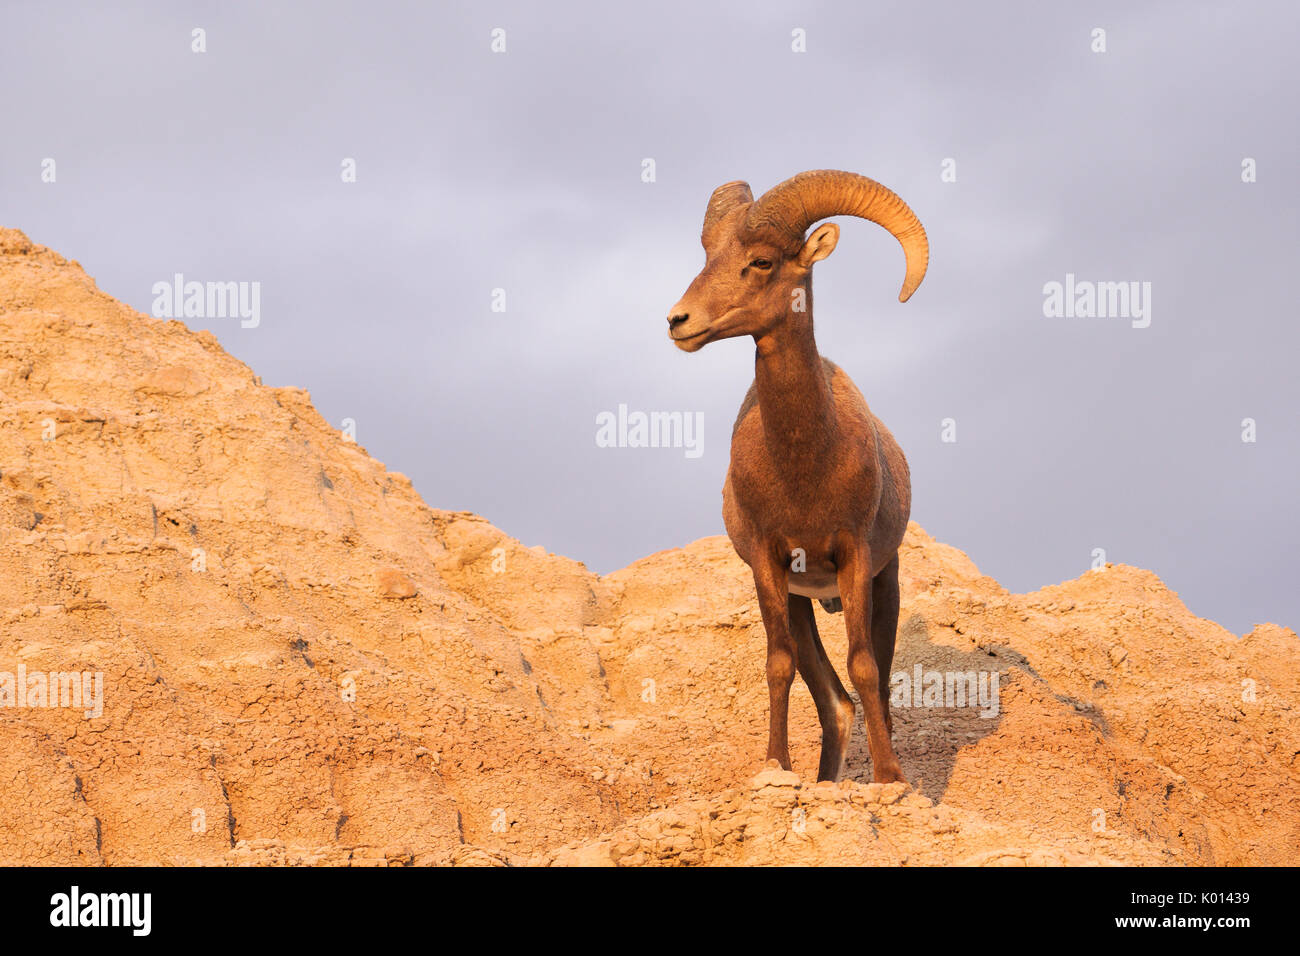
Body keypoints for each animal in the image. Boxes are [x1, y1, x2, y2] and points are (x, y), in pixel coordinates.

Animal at [666, 170, 928, 783]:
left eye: (761, 261)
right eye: (711, 255)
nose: (678, 321)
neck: (806, 469)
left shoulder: (856, 557)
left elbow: (865, 667)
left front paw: (889, 780)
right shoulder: (770, 563)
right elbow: (778, 665)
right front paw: (774, 767)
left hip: (882, 586)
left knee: (874, 685)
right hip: (802, 601)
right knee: (833, 703)